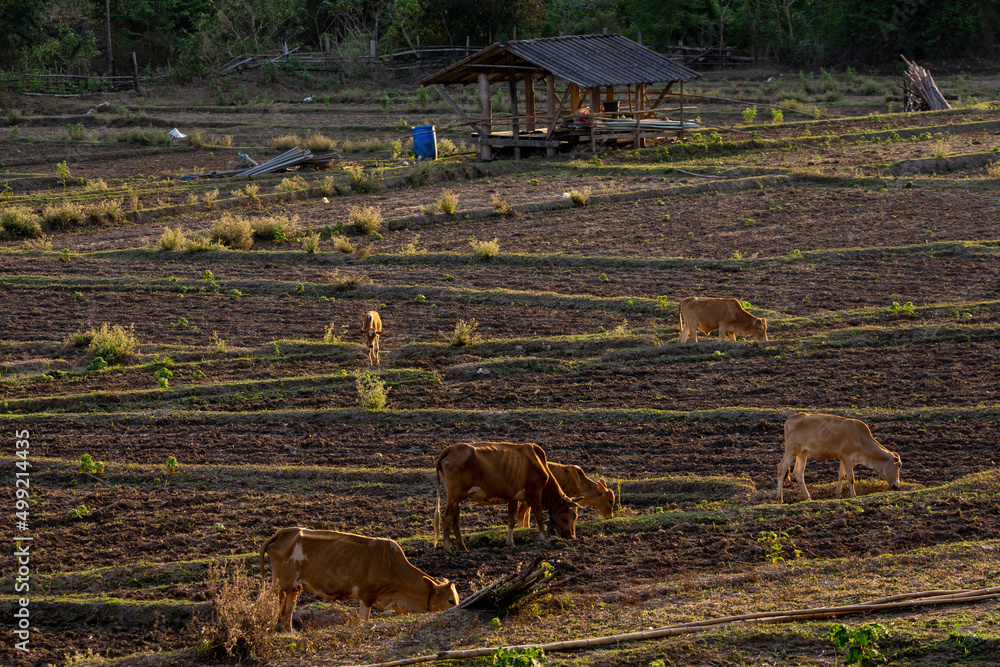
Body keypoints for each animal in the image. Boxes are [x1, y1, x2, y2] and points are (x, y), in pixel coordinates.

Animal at [259, 527, 458, 631]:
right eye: (450, 600)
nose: (456, 611)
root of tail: (285, 532)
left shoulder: (394, 602)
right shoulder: (367, 596)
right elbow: (364, 621)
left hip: (294, 588)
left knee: (286, 614)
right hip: (280, 585)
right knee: (267, 605)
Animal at [434, 441, 581, 552]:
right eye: (574, 514)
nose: (573, 537)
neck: (539, 462)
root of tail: (451, 448)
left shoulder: (513, 497)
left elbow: (511, 521)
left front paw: (510, 542)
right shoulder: (535, 491)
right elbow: (539, 516)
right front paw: (544, 538)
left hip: (457, 497)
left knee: (455, 519)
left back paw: (462, 547)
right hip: (455, 494)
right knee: (447, 517)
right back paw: (447, 548)